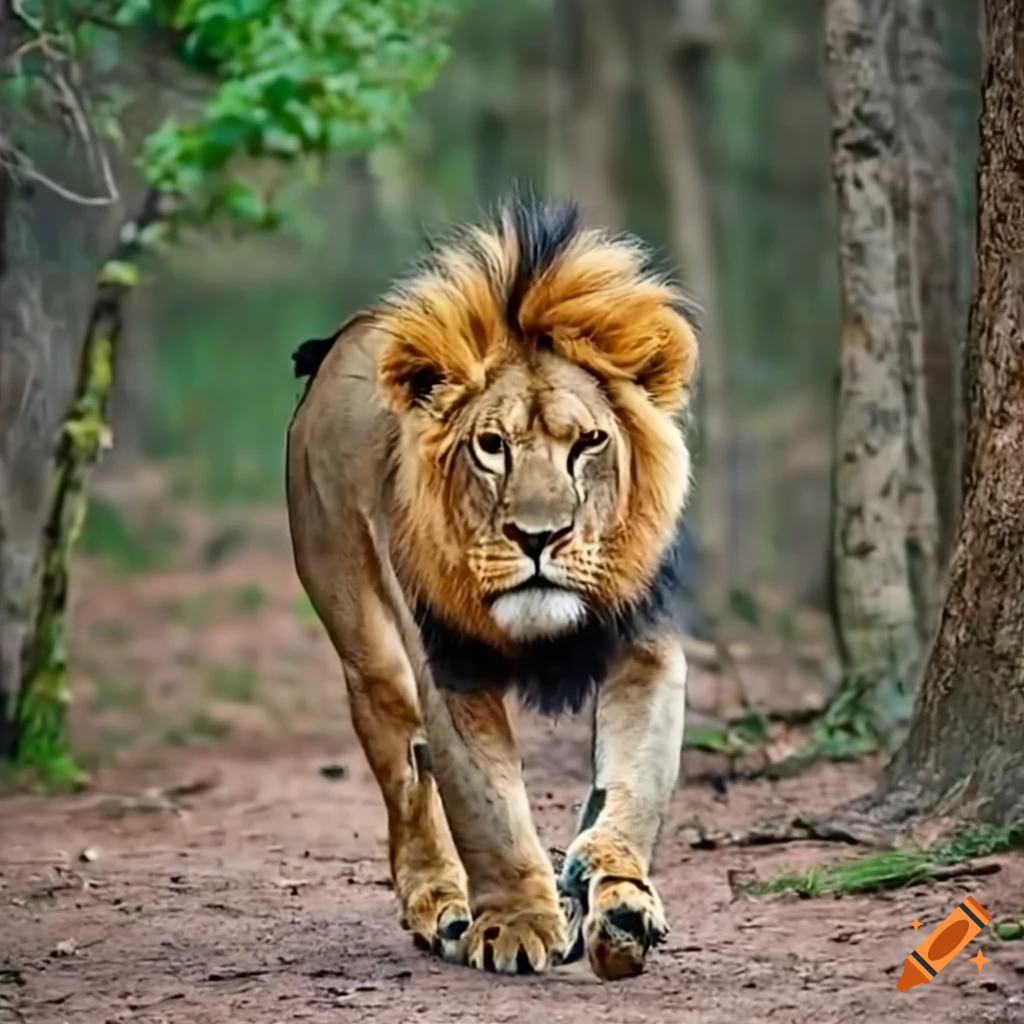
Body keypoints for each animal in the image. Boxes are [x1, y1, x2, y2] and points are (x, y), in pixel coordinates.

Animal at [285, 195, 698, 981]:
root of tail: (349, 332)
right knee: (407, 773)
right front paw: (515, 924)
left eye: (588, 442)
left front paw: (620, 901)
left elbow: (634, 789)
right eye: (492, 446)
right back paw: (441, 907)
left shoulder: (646, 648)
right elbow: (487, 809)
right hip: (366, 641)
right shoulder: (450, 669)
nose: (539, 537)